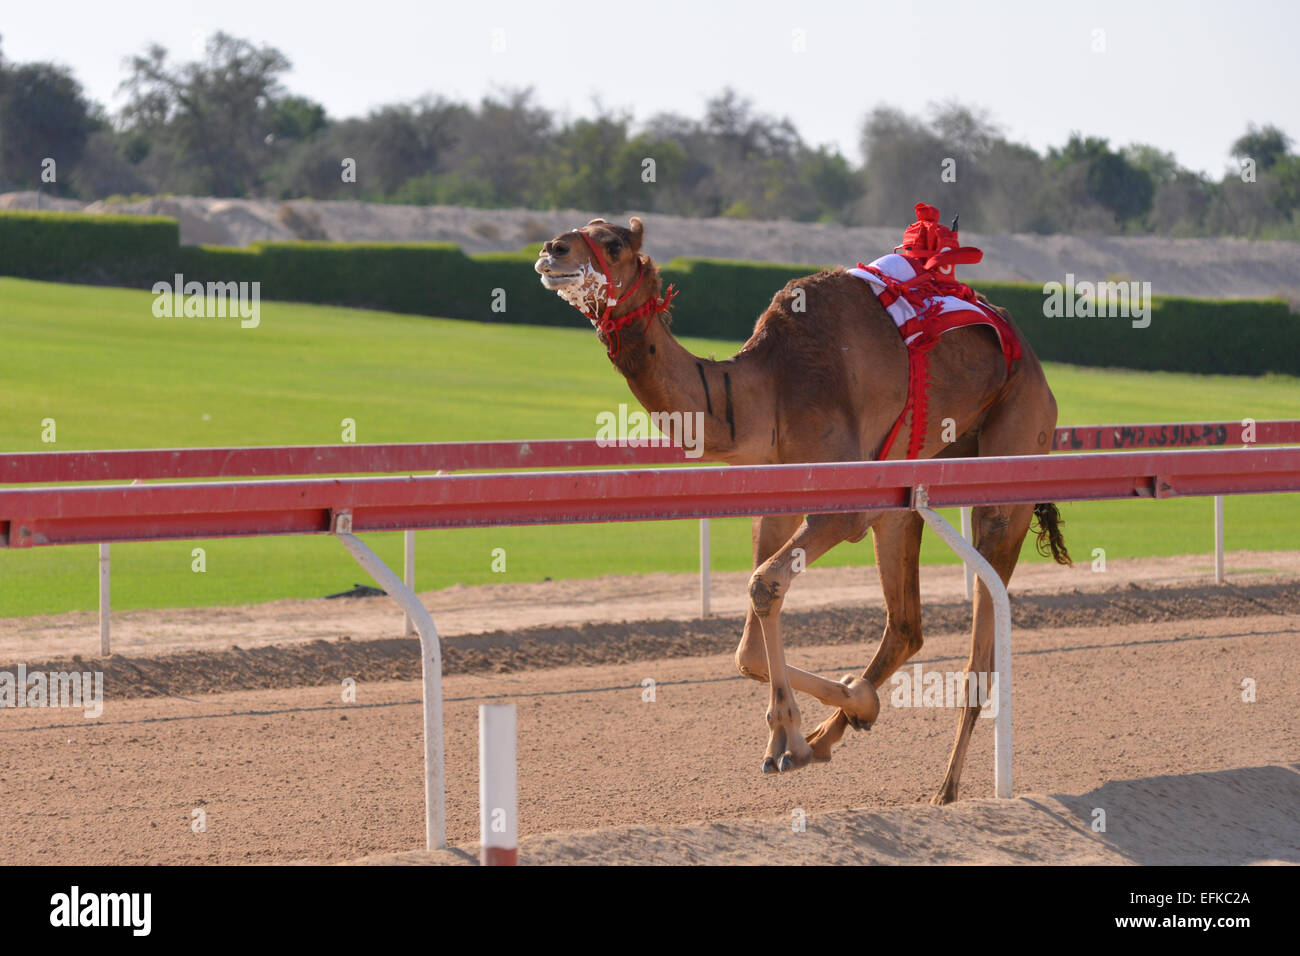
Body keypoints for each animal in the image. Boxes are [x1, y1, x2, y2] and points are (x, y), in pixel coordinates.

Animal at [534, 215, 1069, 804]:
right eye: (581, 226)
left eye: (612, 243)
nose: (552, 249)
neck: (768, 386)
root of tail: (1036, 366)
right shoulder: (780, 496)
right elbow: (747, 642)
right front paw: (843, 712)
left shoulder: (843, 508)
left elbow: (765, 585)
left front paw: (785, 742)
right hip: (909, 486)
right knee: (906, 626)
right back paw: (838, 730)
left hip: (1014, 450)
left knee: (980, 649)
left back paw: (944, 792)